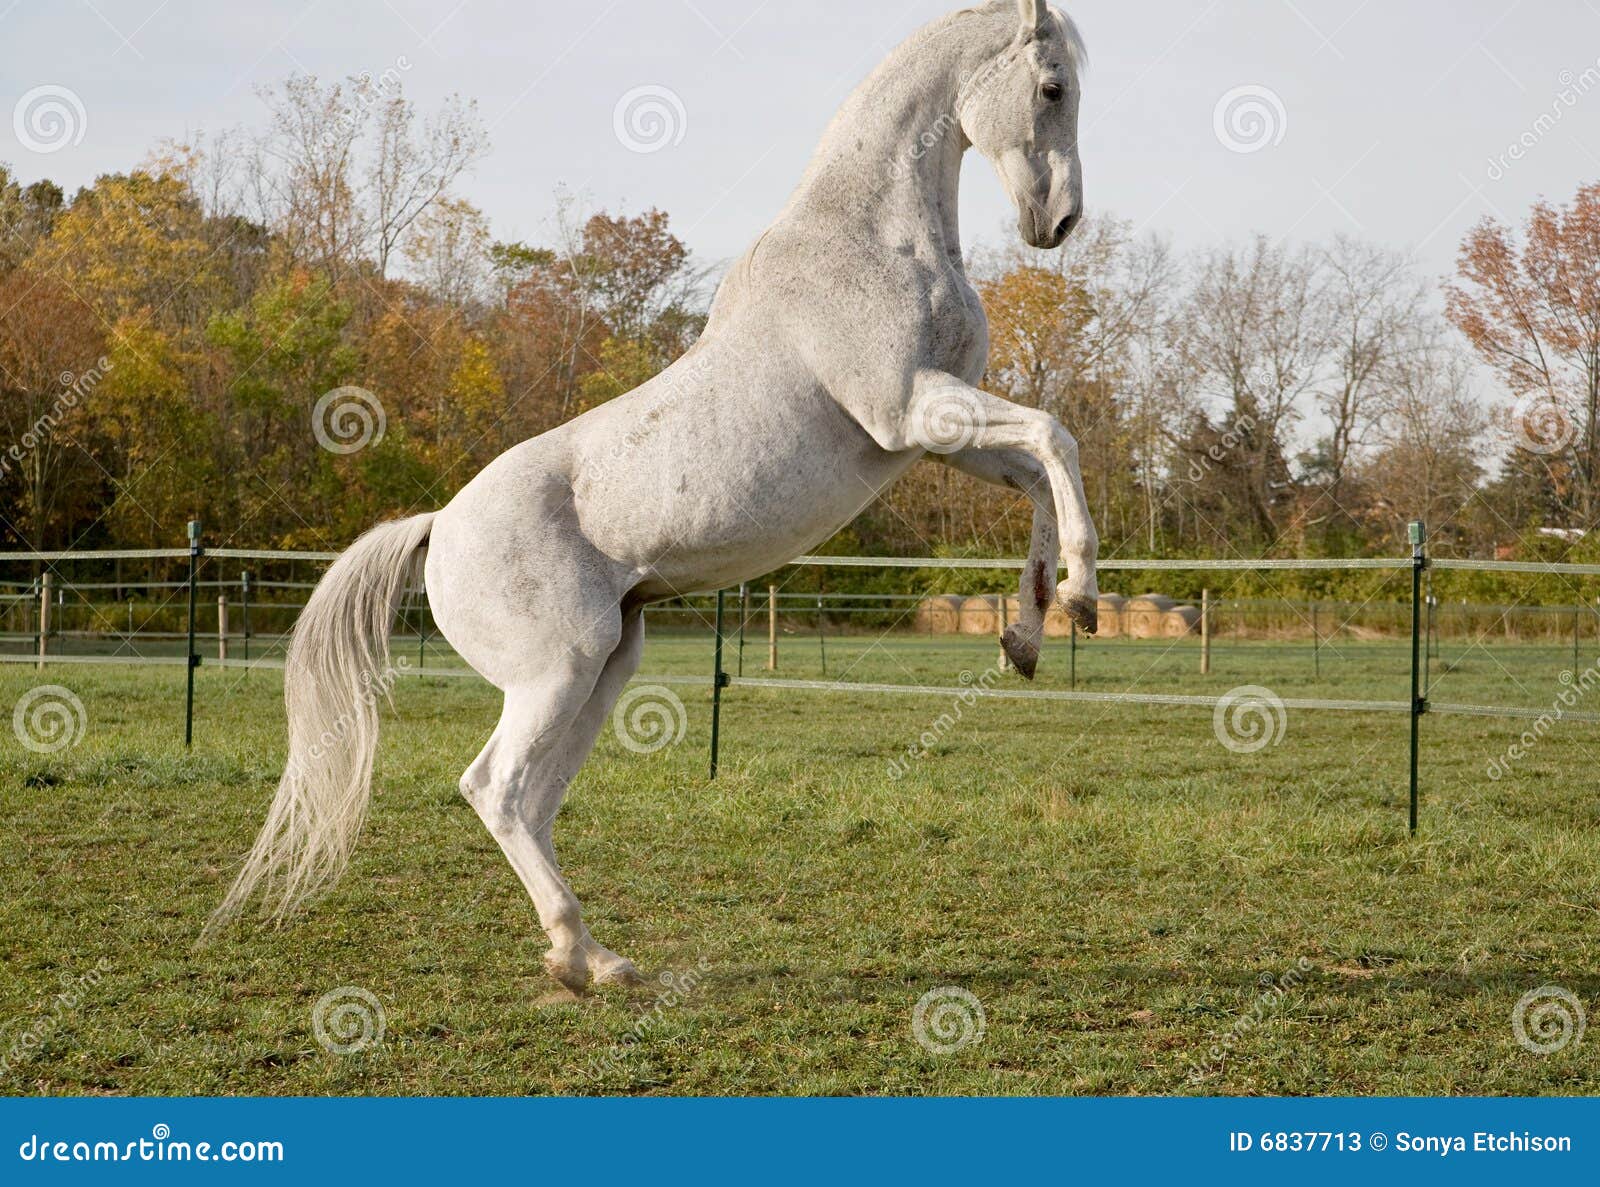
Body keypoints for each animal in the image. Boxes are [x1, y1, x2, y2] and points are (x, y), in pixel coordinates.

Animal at [209, 0, 1102, 993]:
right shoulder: (909, 409)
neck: (868, 239)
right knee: (495, 788)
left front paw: (1029, 632)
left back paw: (593, 958)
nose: (1058, 221)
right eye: (1053, 87)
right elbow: (1054, 438)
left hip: (606, 669)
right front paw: (1083, 596)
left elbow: (1039, 470)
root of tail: (438, 527)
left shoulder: (929, 433)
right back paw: (577, 953)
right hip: (558, 669)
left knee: (535, 801)